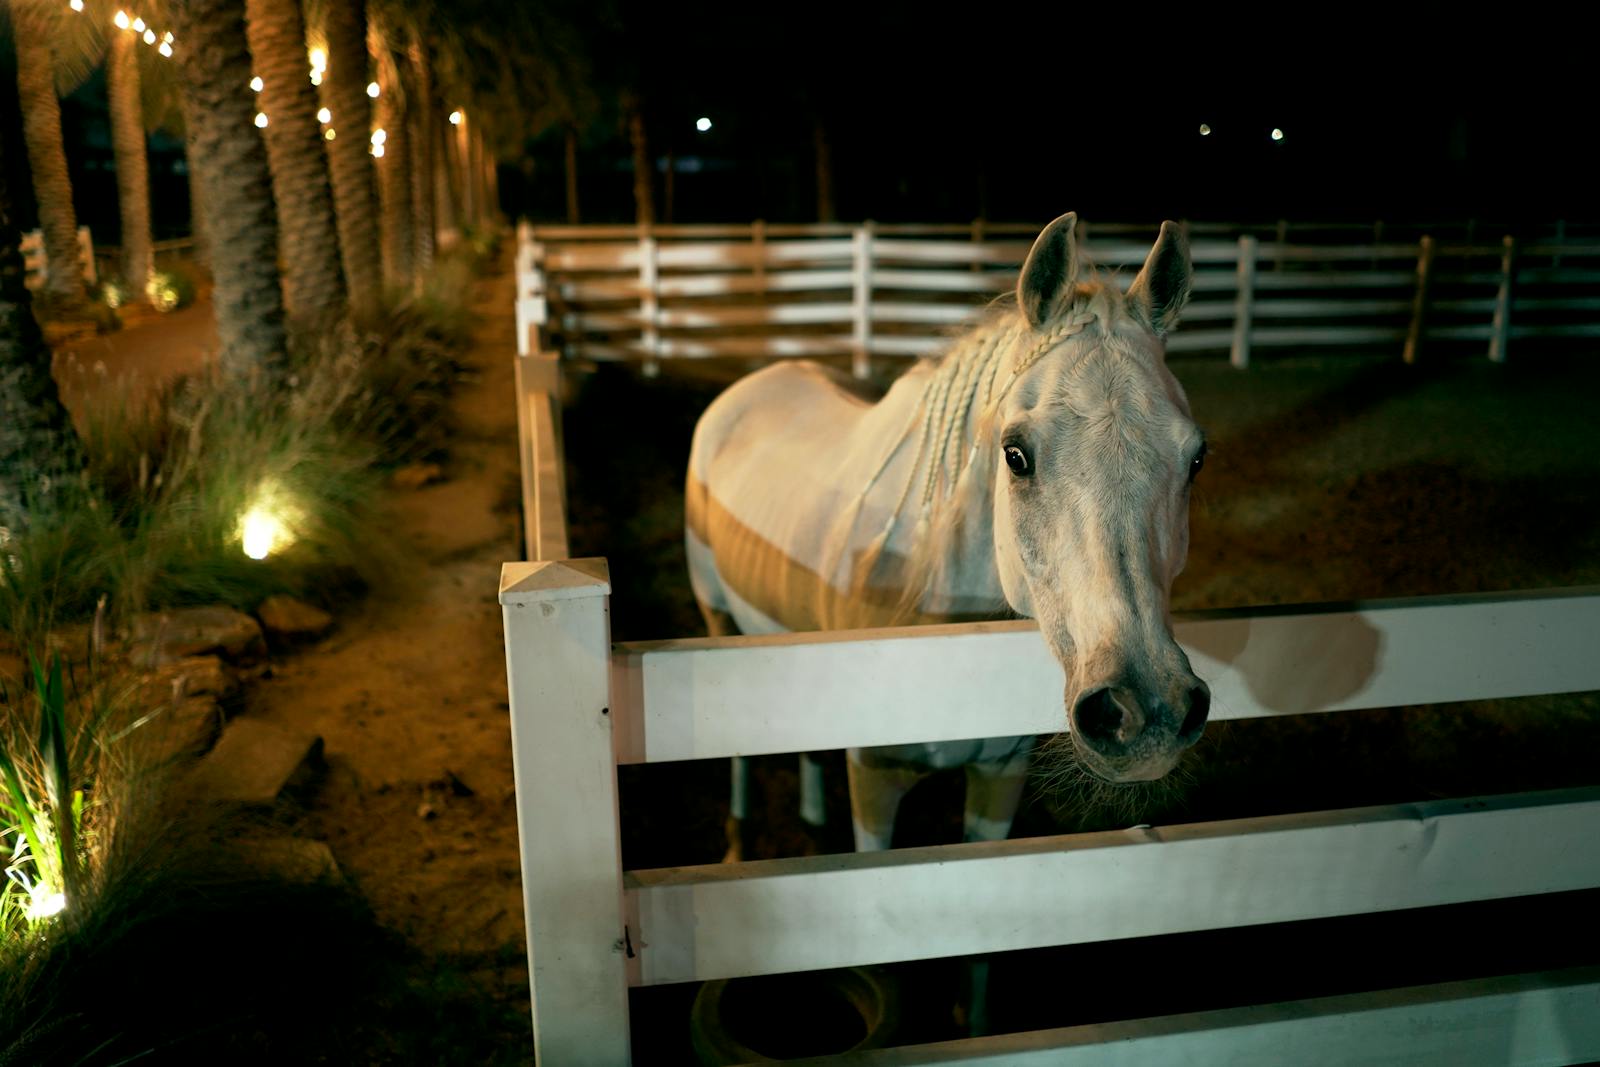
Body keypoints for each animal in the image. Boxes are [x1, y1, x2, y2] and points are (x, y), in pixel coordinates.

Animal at [685, 212, 1211, 862]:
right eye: (1015, 454)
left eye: (1196, 458)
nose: (1147, 711)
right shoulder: (874, 779)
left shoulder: (997, 779)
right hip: (720, 625)